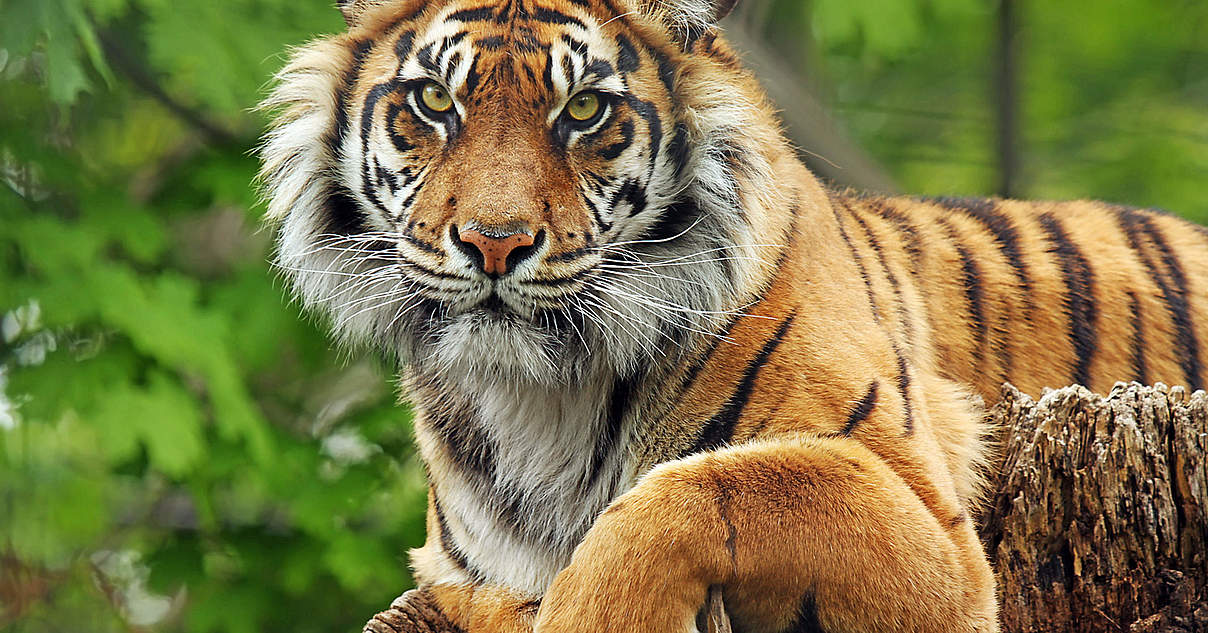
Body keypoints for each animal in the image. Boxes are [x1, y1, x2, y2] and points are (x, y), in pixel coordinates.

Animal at [256, 0, 1208, 630]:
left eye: (584, 109)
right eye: (434, 103)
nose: (495, 243)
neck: (541, 394)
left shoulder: (935, 530)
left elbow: (699, 486)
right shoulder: (459, 570)